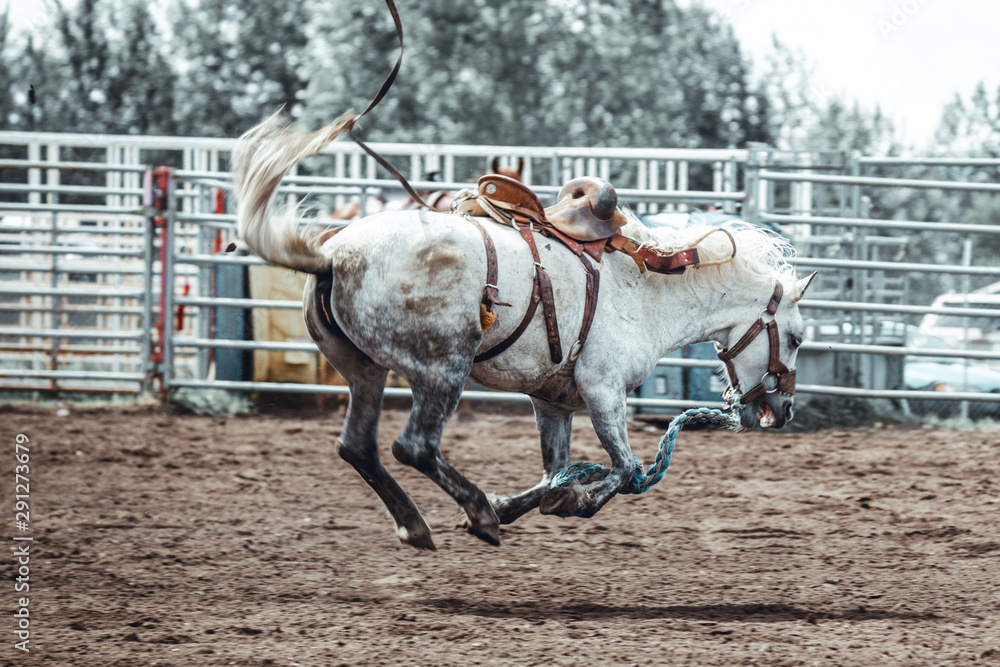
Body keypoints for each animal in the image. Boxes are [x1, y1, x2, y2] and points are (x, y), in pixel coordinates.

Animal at [232, 112, 816, 550]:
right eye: (796, 338)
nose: (782, 411)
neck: (649, 285)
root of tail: (334, 253)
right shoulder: (604, 391)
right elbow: (626, 470)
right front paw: (561, 502)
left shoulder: (553, 401)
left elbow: (555, 473)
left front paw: (533, 500)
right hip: (442, 371)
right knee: (413, 446)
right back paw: (475, 511)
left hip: (365, 370)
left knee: (358, 447)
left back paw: (418, 524)